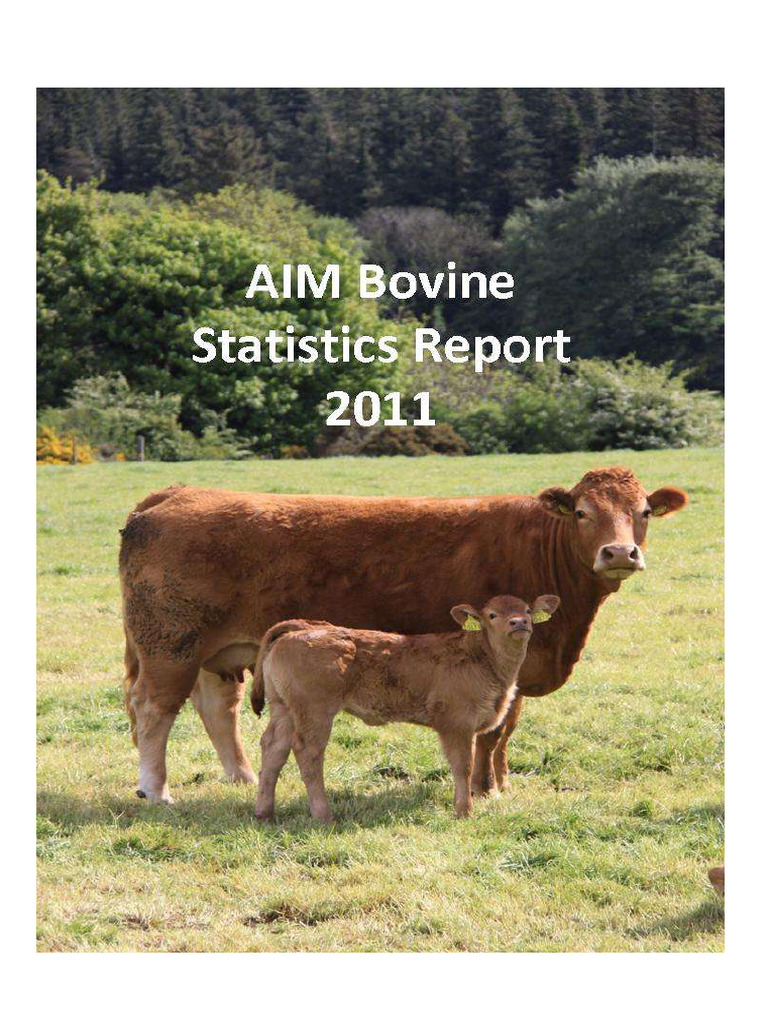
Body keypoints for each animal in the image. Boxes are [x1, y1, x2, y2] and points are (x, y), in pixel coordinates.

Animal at [252, 594, 559, 822]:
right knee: (308, 752)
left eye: (528, 610)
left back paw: (264, 812)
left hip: (283, 708)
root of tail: (306, 627)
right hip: (315, 712)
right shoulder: (458, 724)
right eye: (493, 615)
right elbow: (464, 766)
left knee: (273, 747)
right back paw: (323, 814)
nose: (519, 623)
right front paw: (464, 810)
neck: (484, 657)